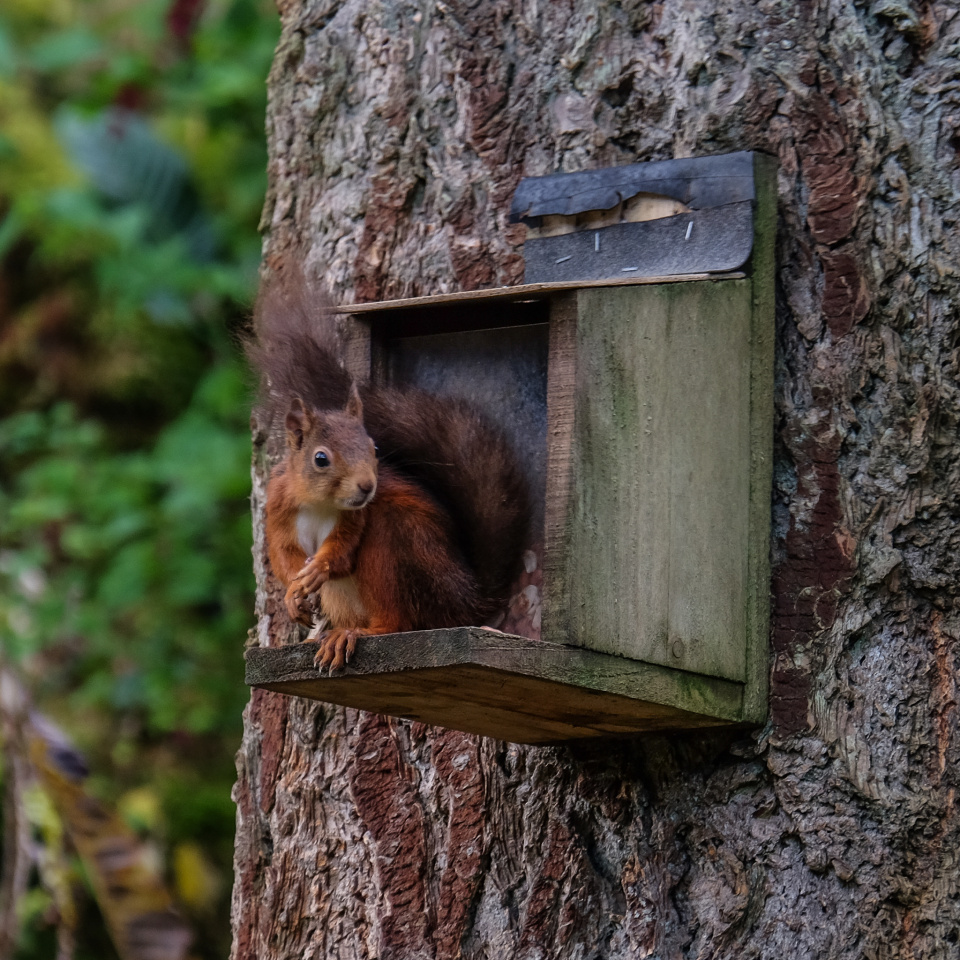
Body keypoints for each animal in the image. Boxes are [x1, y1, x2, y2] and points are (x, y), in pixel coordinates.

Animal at [246, 268, 531, 672]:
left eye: (375, 448)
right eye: (321, 458)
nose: (367, 487)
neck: (321, 504)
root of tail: (465, 602)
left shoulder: (357, 519)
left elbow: (342, 554)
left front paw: (319, 568)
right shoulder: (279, 509)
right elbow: (284, 555)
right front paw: (293, 593)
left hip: (398, 550)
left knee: (397, 621)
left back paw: (353, 633)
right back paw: (325, 633)